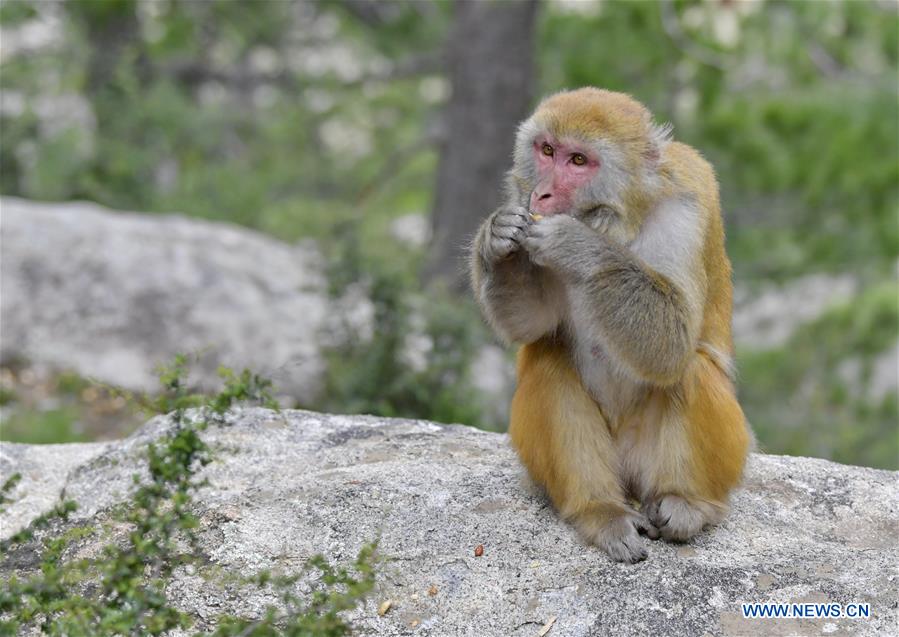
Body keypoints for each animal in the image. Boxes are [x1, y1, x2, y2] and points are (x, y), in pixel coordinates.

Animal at [470, 88, 751, 563]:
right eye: (547, 151)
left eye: (579, 161)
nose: (542, 195)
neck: (619, 219)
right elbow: (531, 324)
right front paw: (497, 238)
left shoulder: (687, 208)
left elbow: (670, 343)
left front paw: (577, 244)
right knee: (549, 361)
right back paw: (600, 510)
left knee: (689, 370)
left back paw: (687, 503)